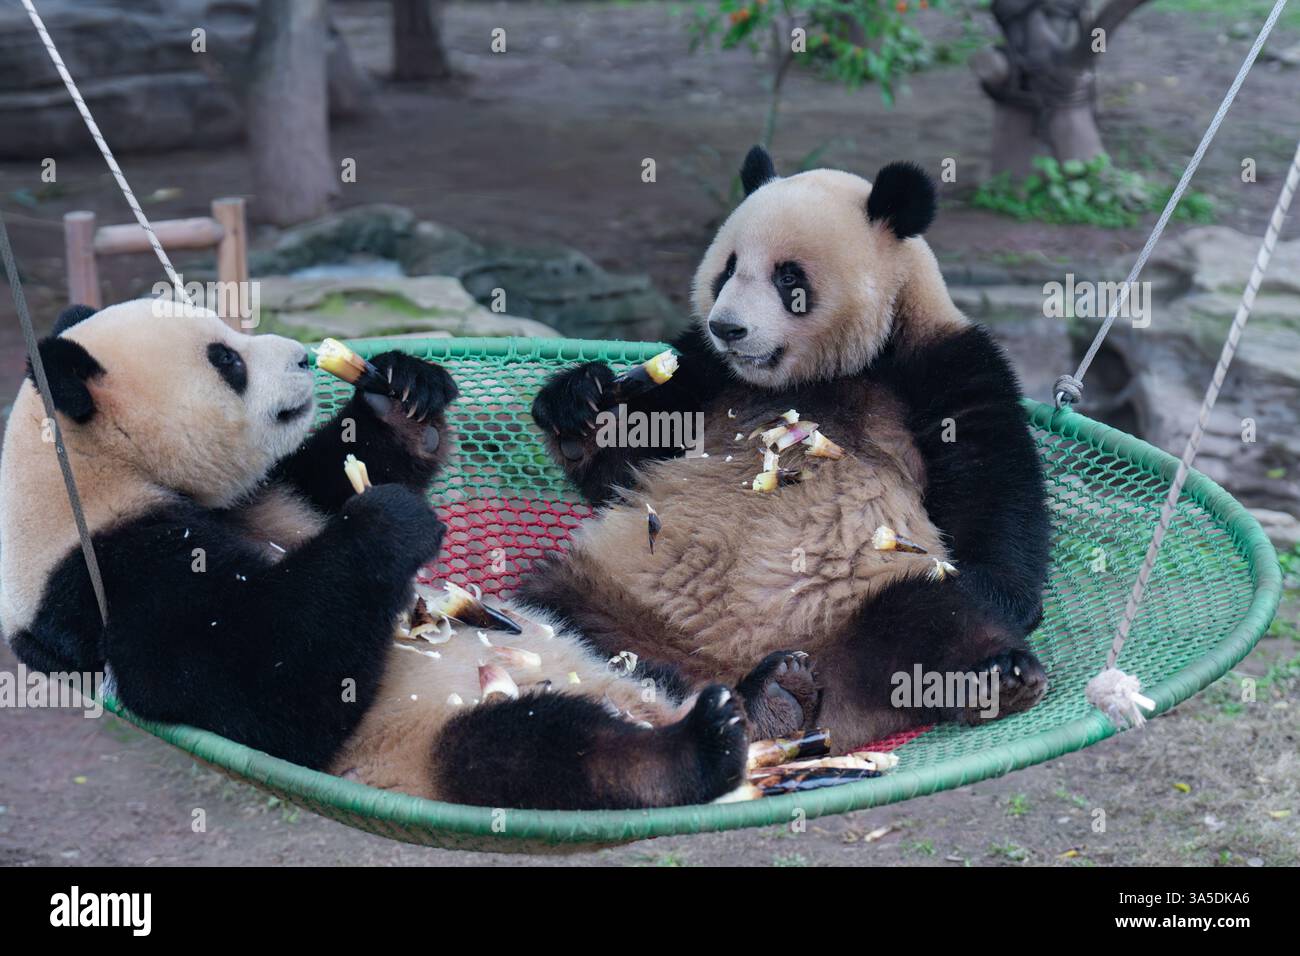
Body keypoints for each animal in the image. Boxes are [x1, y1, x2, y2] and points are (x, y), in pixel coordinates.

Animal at [0, 298, 756, 811]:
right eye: (227, 361)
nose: (303, 356)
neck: (95, 471)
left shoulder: (268, 490)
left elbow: (327, 473)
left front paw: (399, 394)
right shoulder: (105, 576)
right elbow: (261, 690)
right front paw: (390, 524)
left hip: (589, 645)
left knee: (626, 658)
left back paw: (763, 691)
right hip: (425, 739)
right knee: (531, 751)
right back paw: (693, 747)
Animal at [521, 147, 1053, 750]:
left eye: (788, 278)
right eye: (727, 269)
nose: (727, 327)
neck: (818, 375)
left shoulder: (940, 362)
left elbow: (994, 490)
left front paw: (1003, 601)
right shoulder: (702, 370)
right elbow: (623, 464)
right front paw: (574, 407)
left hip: (860, 606)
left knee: (929, 615)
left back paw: (992, 676)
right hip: (611, 593)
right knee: (558, 613)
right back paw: (757, 701)